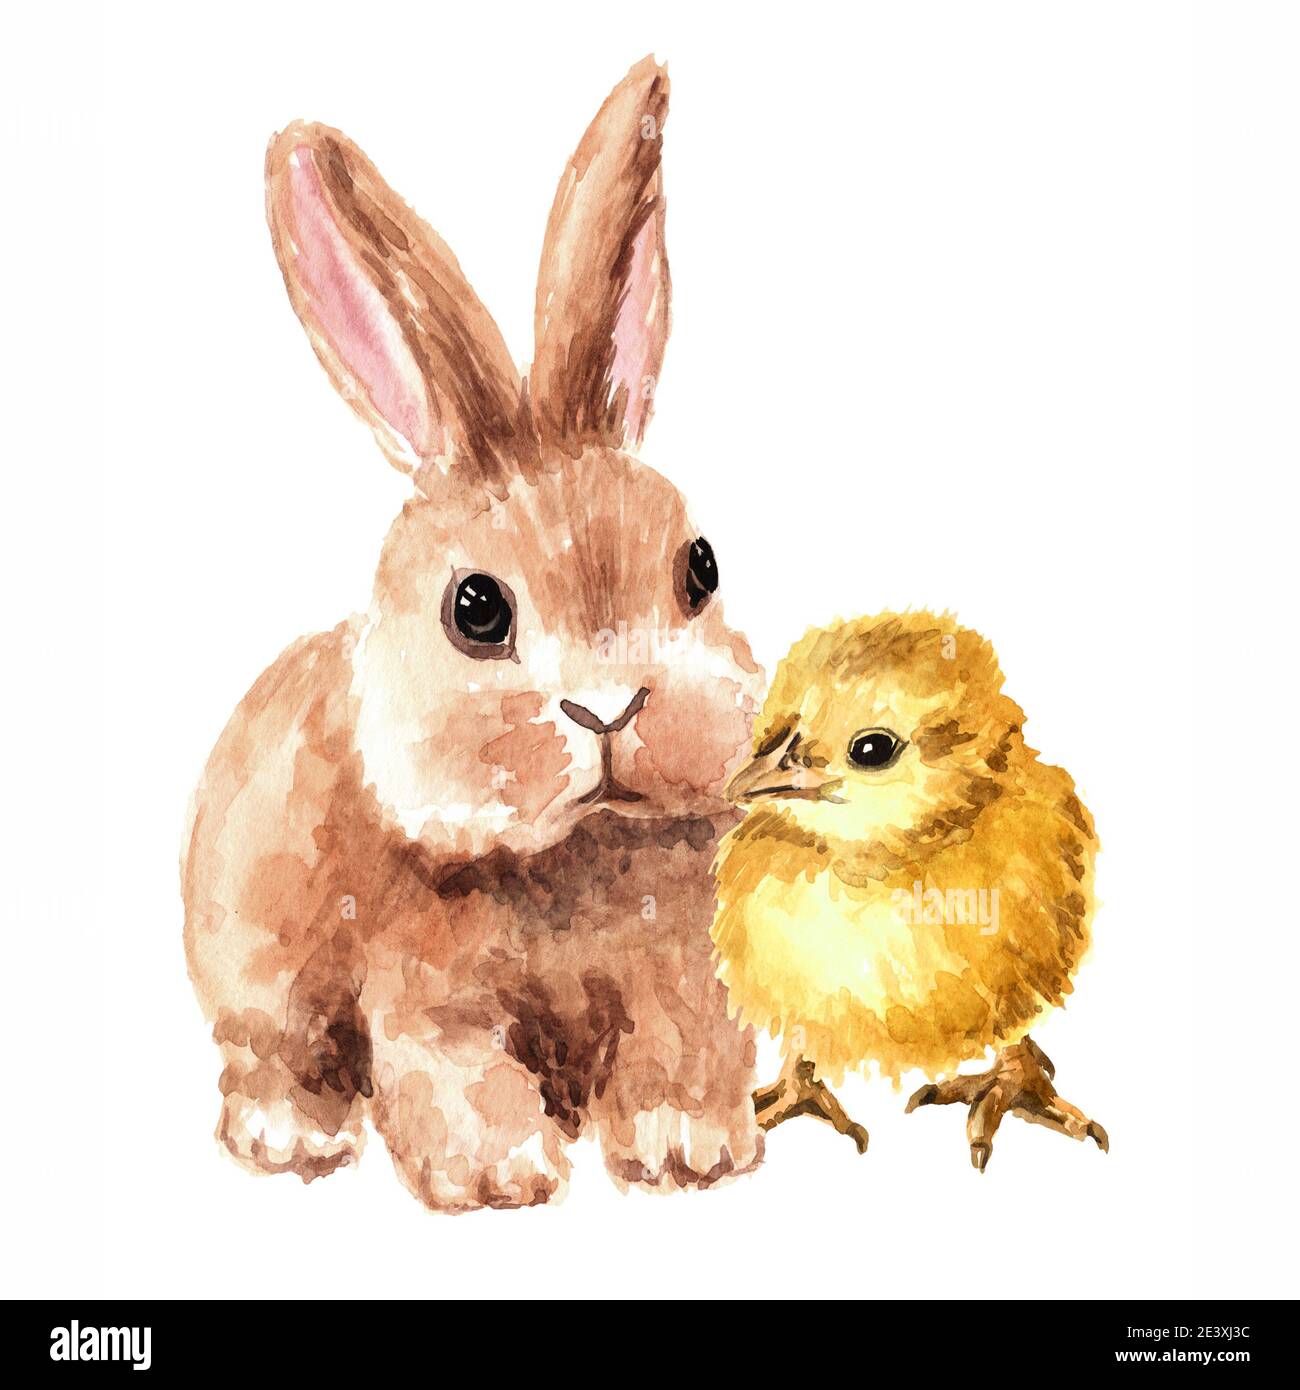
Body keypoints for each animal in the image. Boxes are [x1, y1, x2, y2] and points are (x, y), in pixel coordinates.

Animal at [182, 57, 767, 1212]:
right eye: (476, 611)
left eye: (701, 568)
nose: (610, 708)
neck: (574, 849)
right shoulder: (426, 999)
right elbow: (455, 1072)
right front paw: (503, 1175)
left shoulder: (684, 982)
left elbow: (681, 1053)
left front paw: (688, 1152)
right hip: (254, 968)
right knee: (273, 1055)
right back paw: (289, 1135)